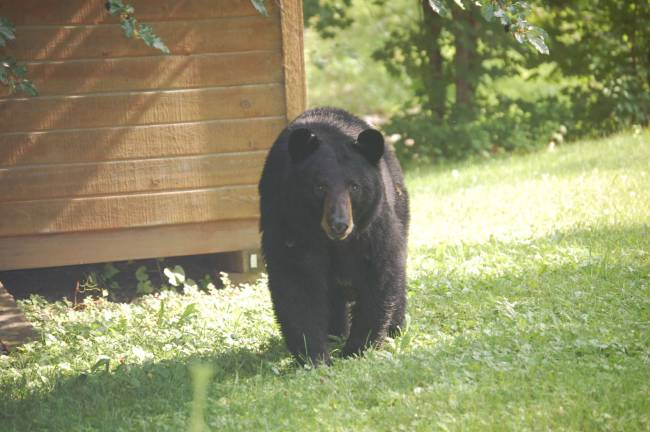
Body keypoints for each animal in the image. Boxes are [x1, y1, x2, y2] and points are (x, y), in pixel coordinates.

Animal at [258, 107, 409, 366]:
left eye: (355, 187)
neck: (331, 241)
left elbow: (378, 272)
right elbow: (297, 282)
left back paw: (394, 327)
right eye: (319, 187)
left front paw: (357, 349)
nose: (339, 224)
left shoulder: (371, 226)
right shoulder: (289, 223)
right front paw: (315, 356)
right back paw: (335, 332)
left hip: (400, 205)